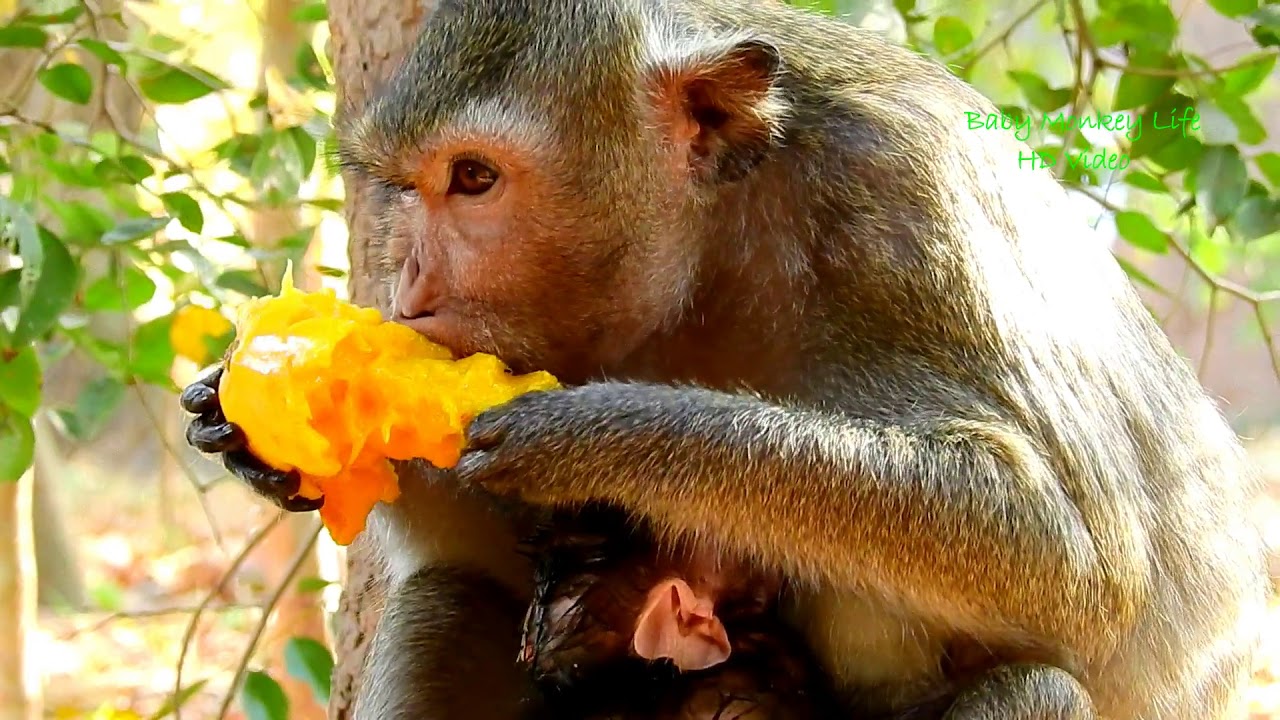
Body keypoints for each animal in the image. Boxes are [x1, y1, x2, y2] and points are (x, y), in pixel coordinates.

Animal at [181, 0, 1269, 717]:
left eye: (474, 180)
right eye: (408, 188)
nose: (407, 289)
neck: (716, 243)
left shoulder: (906, 211)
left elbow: (1074, 562)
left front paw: (595, 436)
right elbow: (483, 560)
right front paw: (257, 438)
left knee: (1039, 683)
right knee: (449, 604)